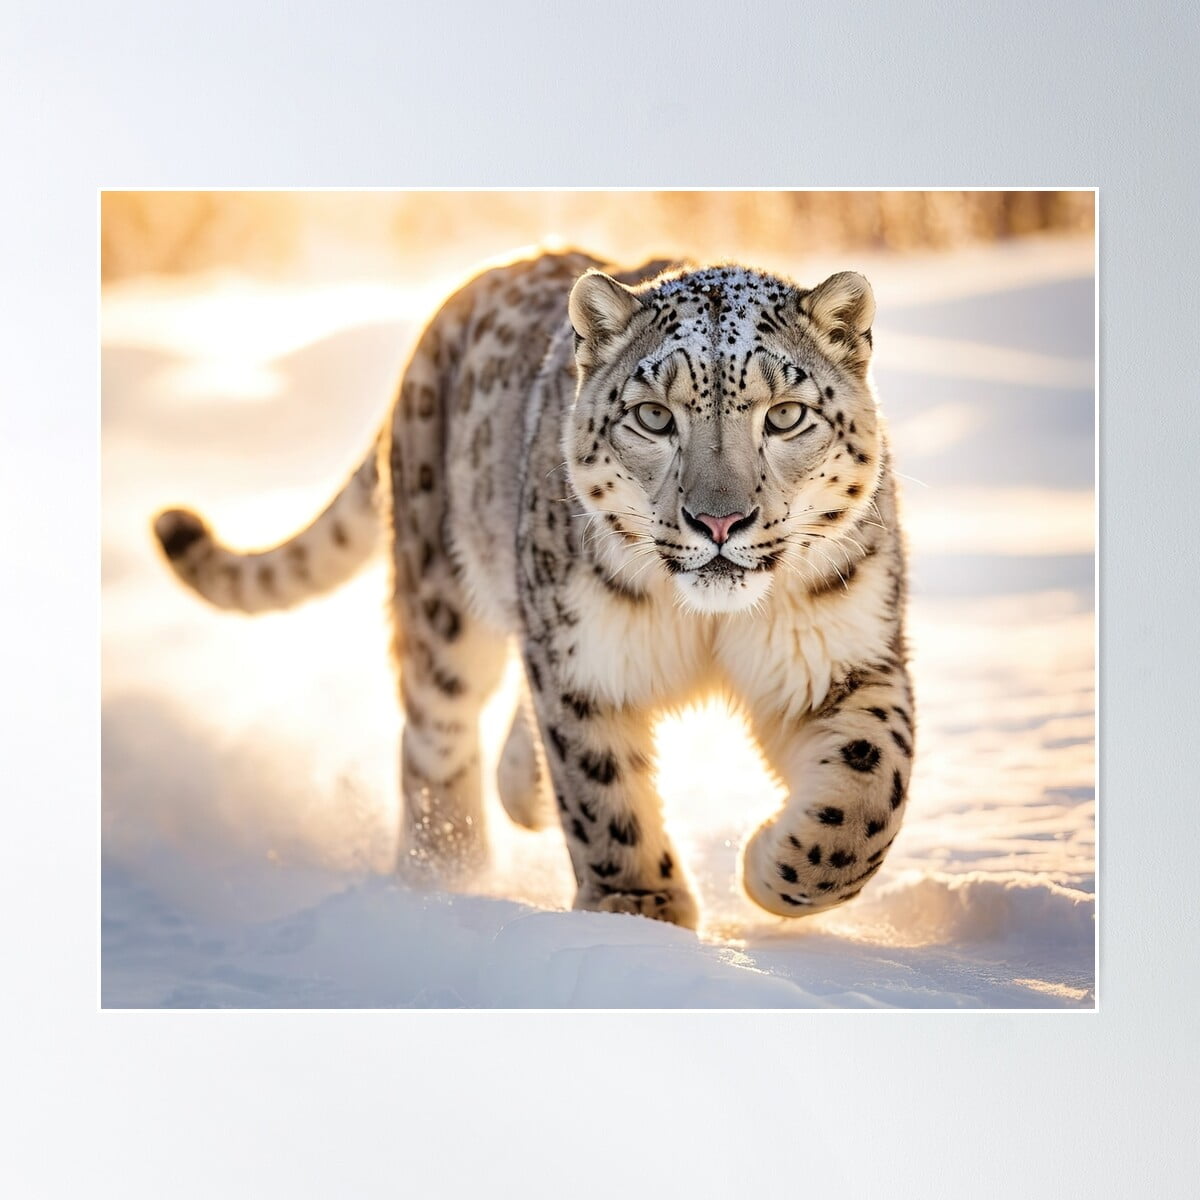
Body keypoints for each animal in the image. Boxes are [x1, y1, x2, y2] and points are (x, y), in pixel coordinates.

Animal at [153, 248, 914, 930]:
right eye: (654, 416)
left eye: (785, 415)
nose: (719, 520)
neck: (706, 627)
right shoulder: (583, 665)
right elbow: (603, 791)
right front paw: (639, 907)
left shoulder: (841, 654)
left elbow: (870, 790)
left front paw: (767, 864)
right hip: (444, 607)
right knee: (434, 735)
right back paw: (444, 876)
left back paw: (521, 792)